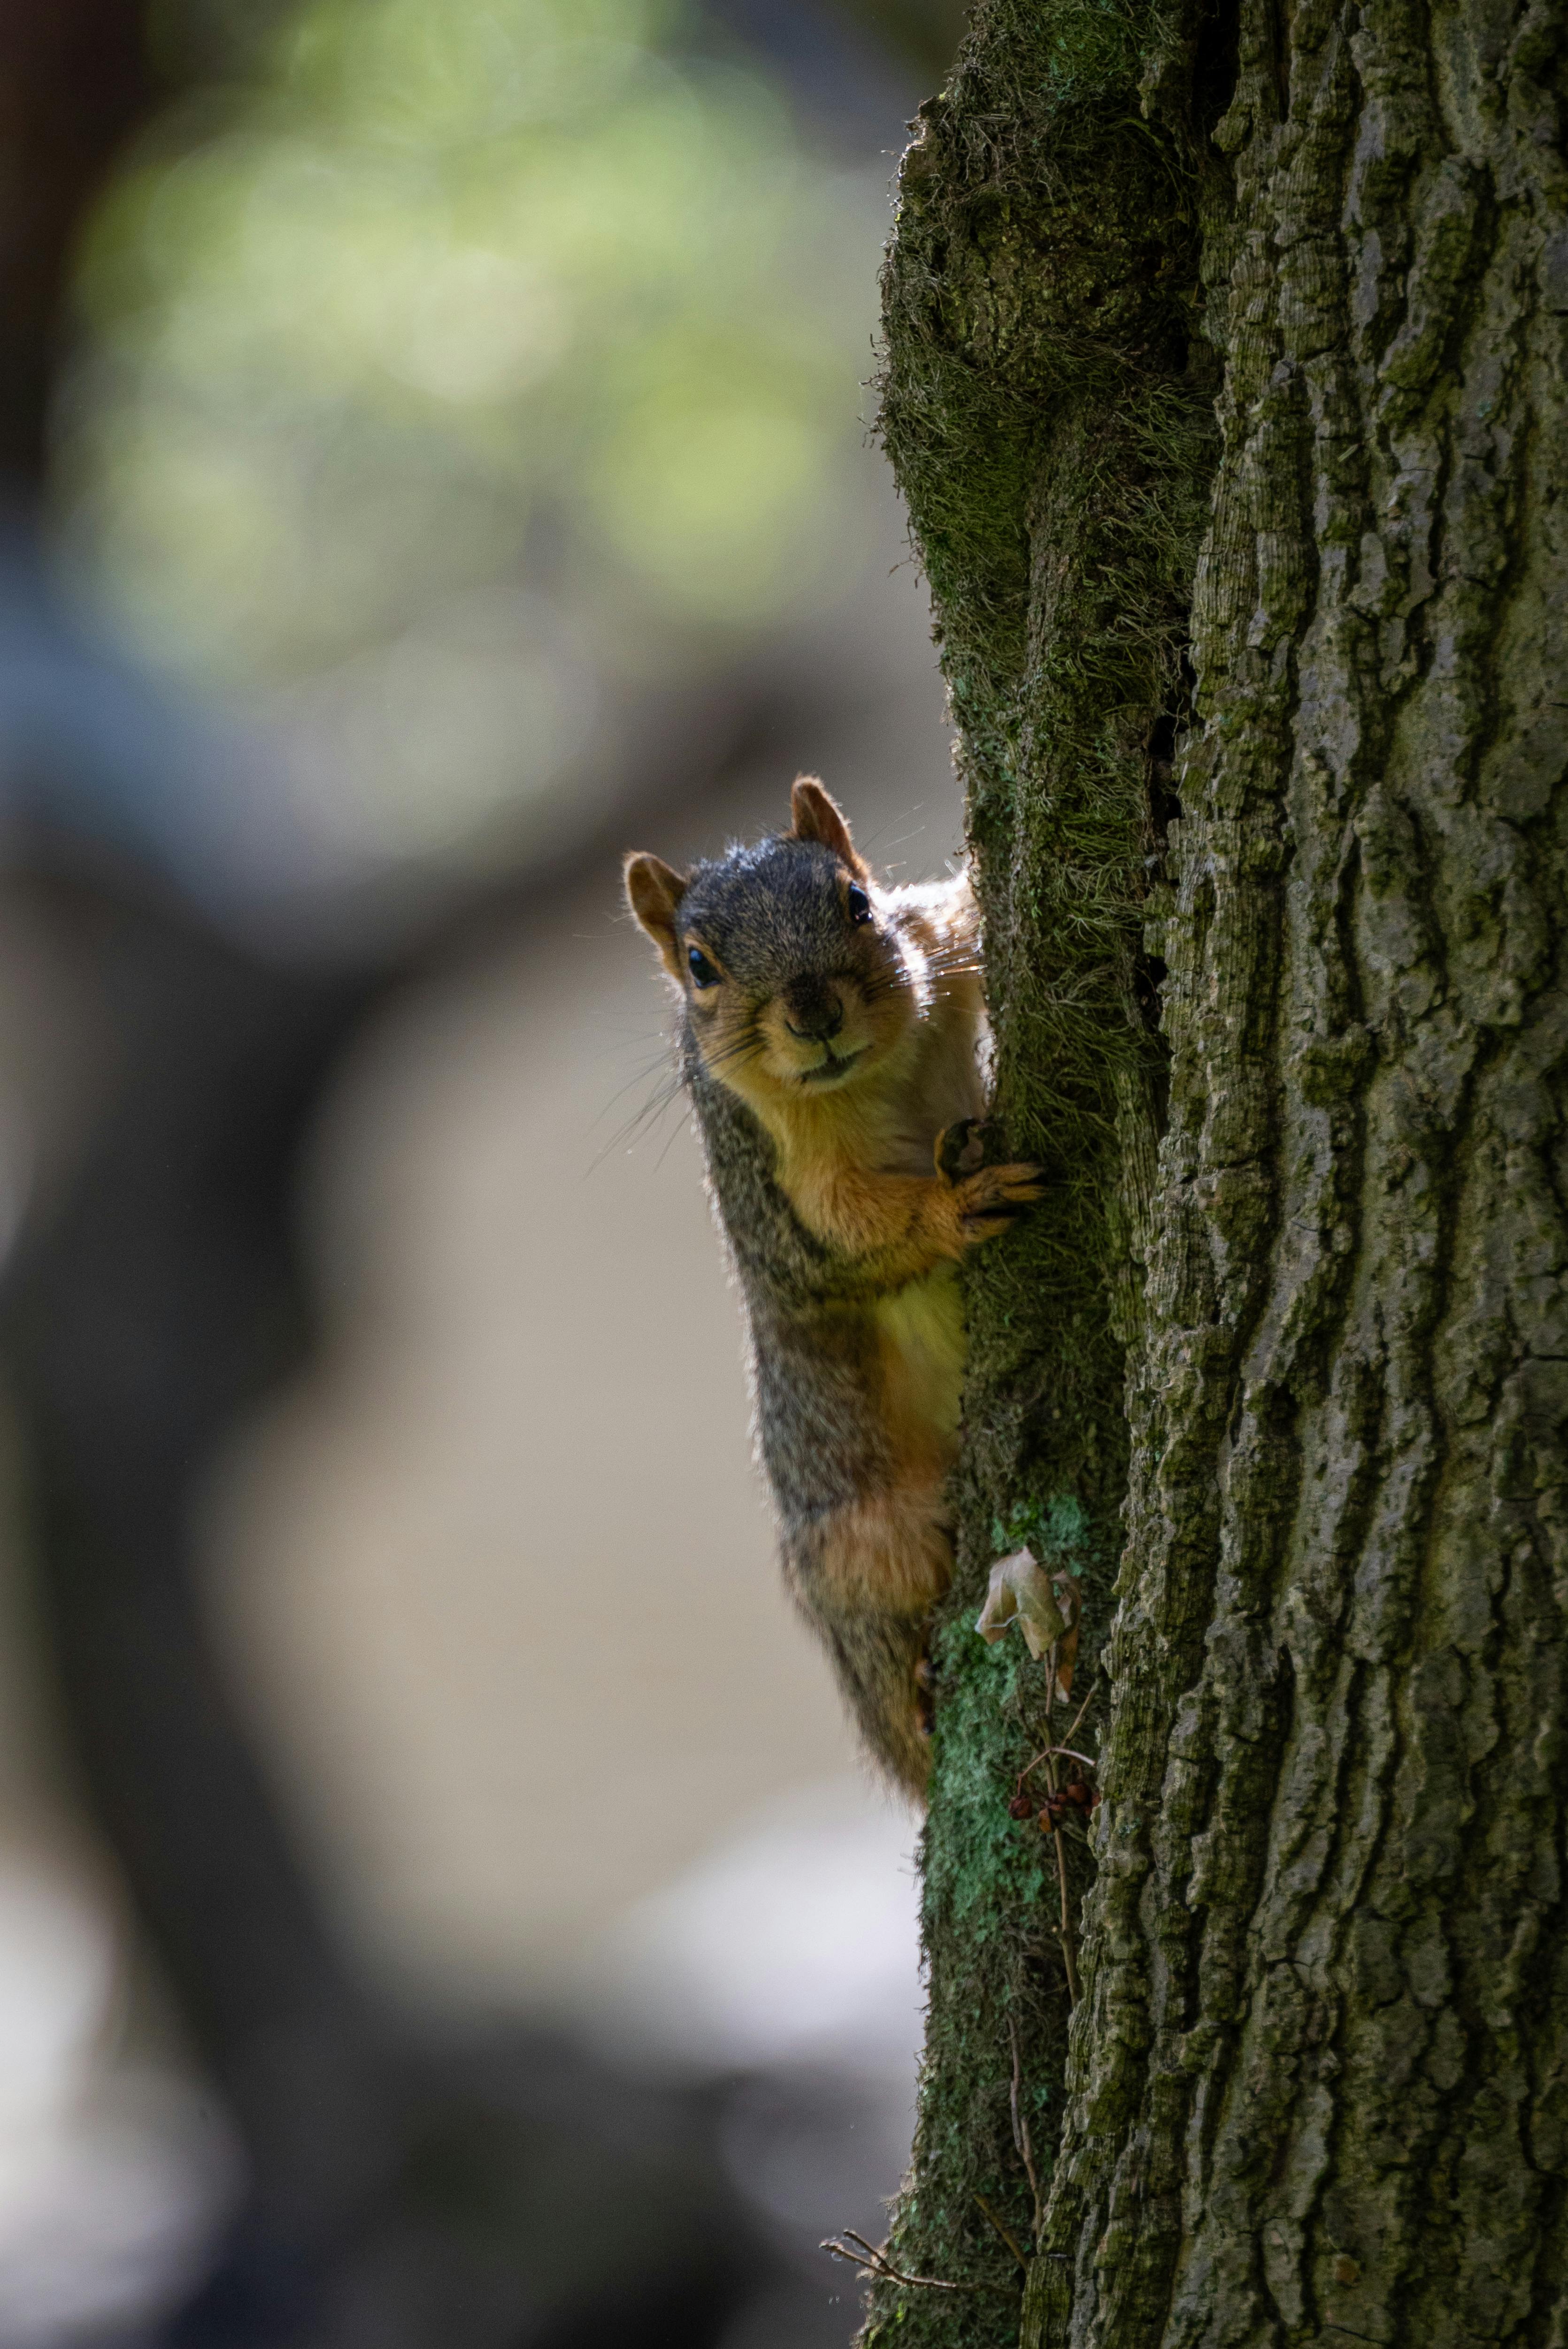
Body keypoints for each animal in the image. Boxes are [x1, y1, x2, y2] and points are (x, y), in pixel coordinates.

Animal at [623, 777, 1042, 1799]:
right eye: (699, 965)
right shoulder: (787, 1184)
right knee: (882, 1643)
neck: (873, 1076)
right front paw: (950, 1203)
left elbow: (961, 914)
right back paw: (917, 1693)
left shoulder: (937, 945)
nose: (813, 1010)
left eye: (856, 901)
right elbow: (853, 1229)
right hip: (863, 1545)